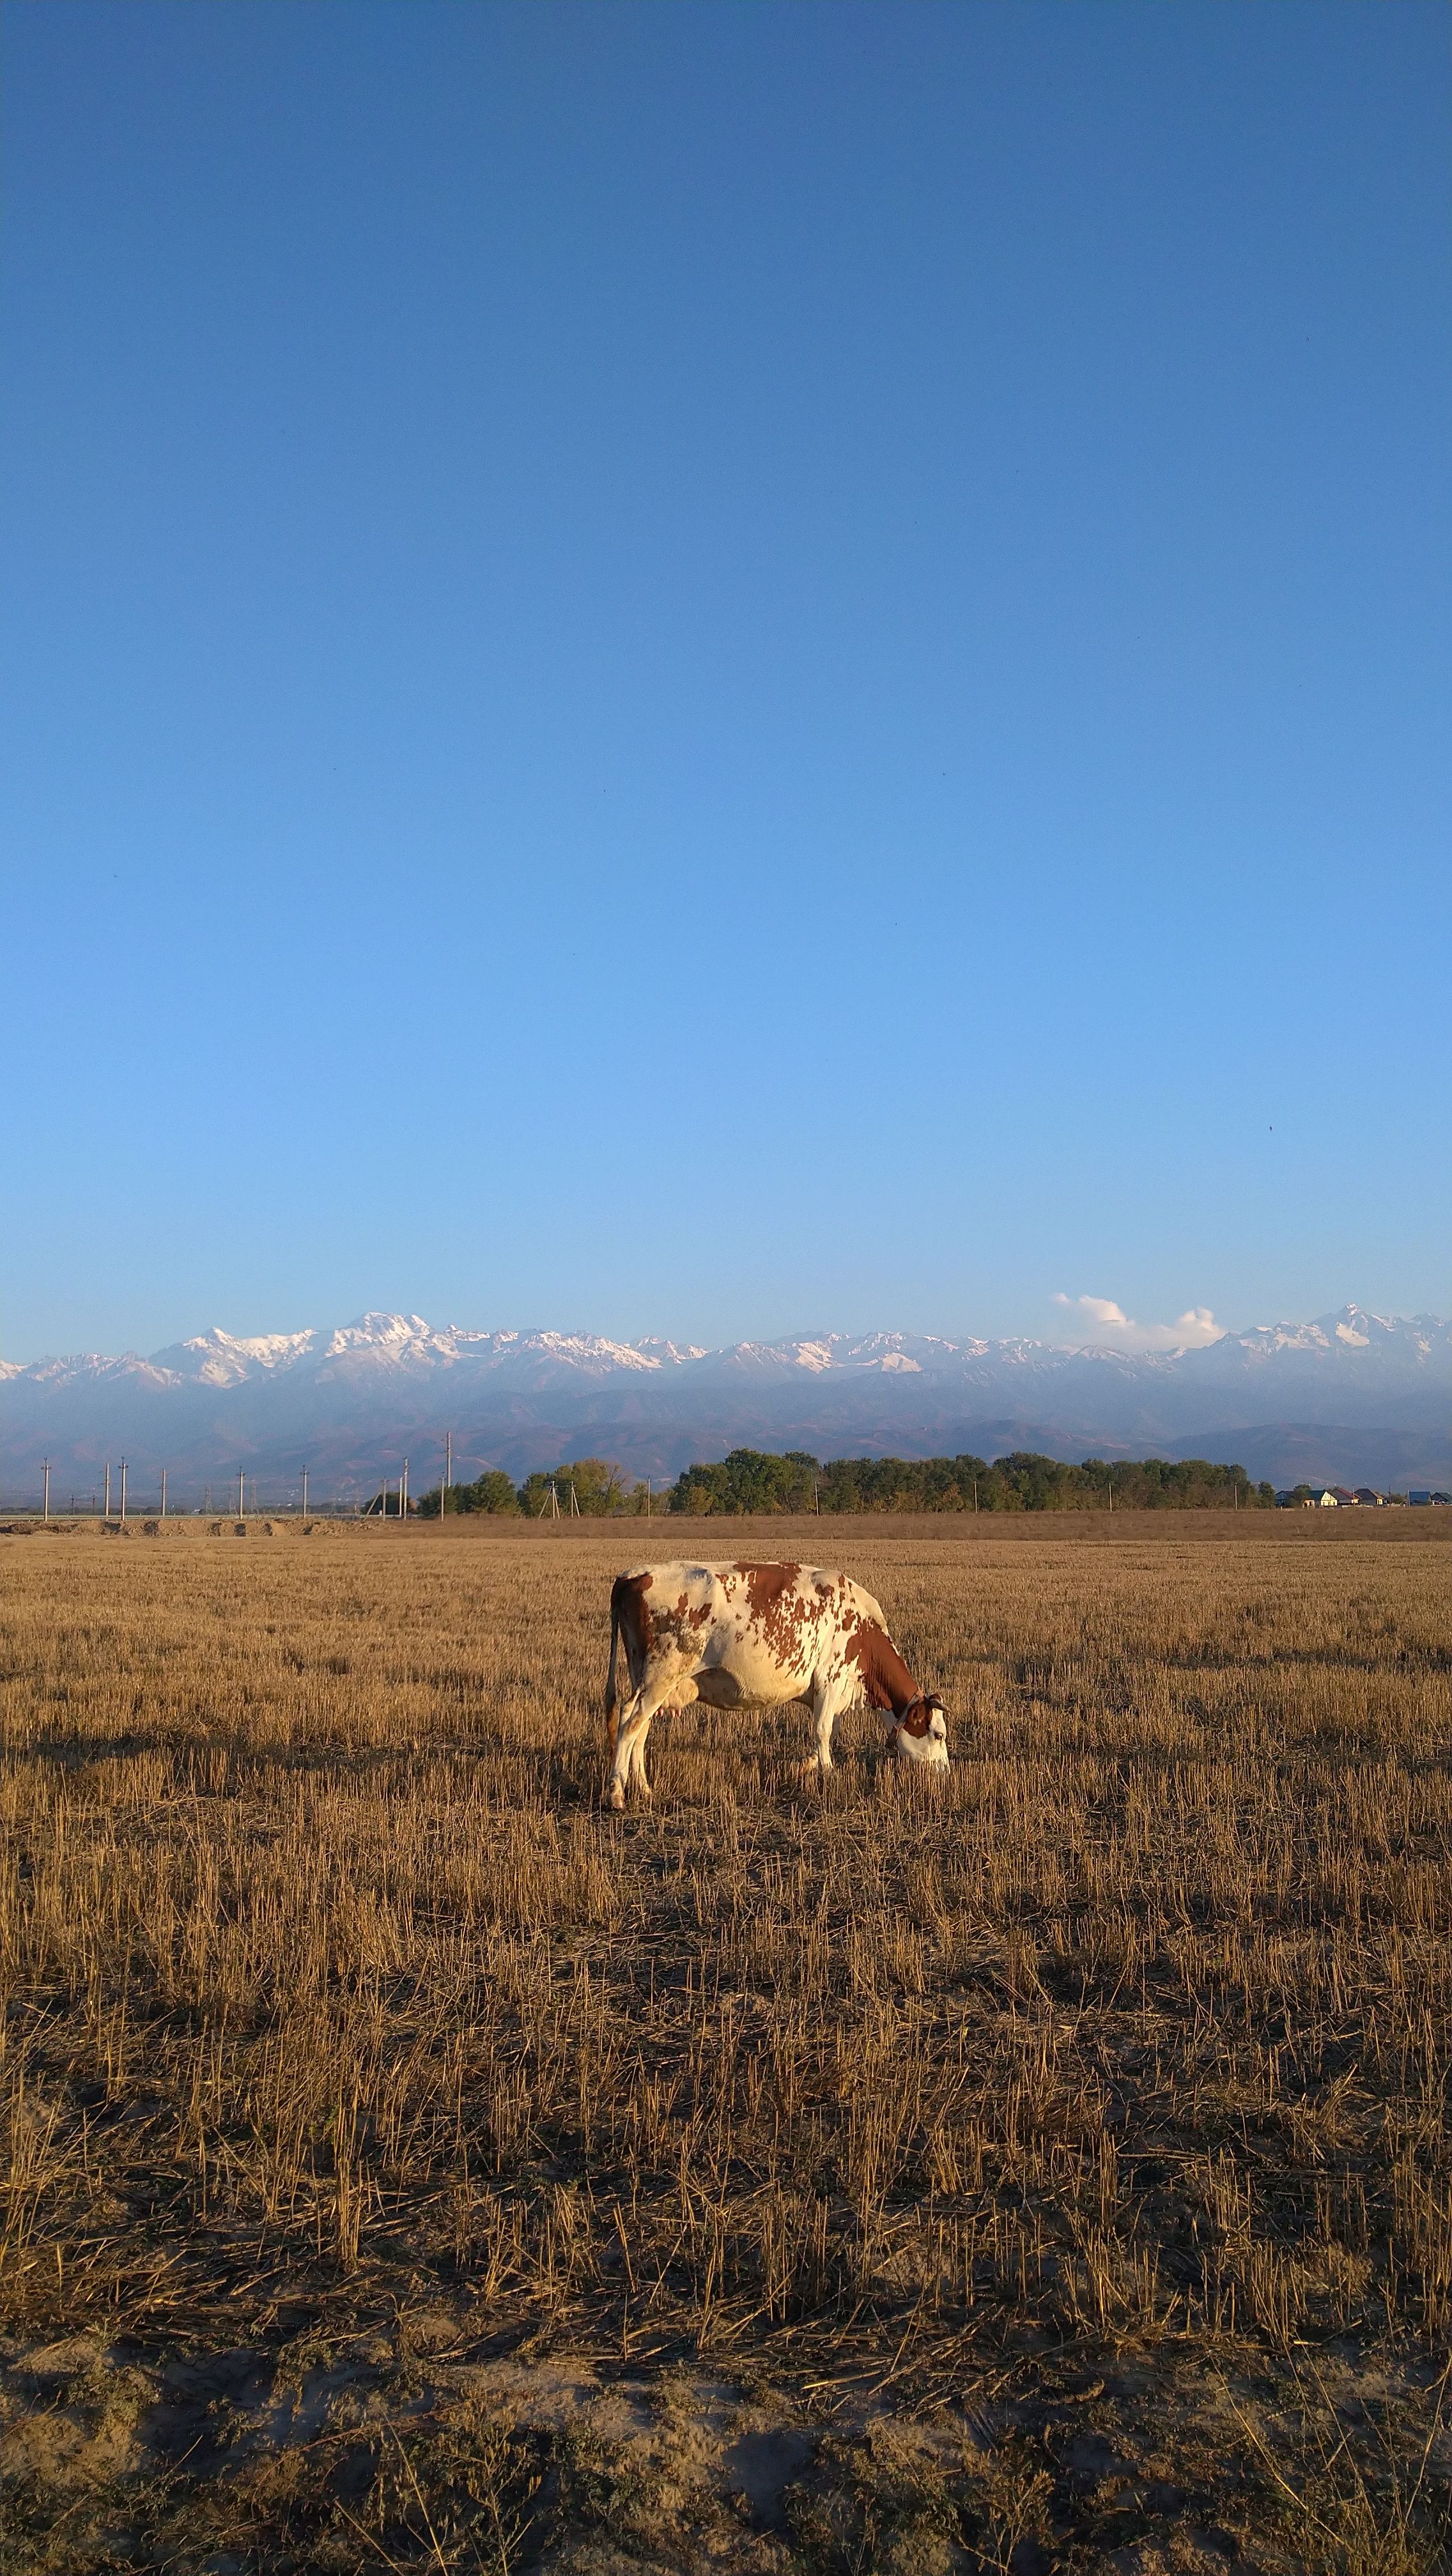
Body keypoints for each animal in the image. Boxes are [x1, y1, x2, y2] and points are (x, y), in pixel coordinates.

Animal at [603, 1559, 948, 1809]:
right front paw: (828, 1773)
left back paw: (644, 1788)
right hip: (661, 1674)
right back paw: (617, 1792)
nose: (945, 1772)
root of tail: (633, 1575)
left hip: (647, 1678)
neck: (861, 1630)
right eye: (938, 1734)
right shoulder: (830, 1679)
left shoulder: (829, 1693)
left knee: (641, 1727)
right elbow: (822, 1730)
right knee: (629, 1722)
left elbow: (828, 1730)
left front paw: (807, 1765)